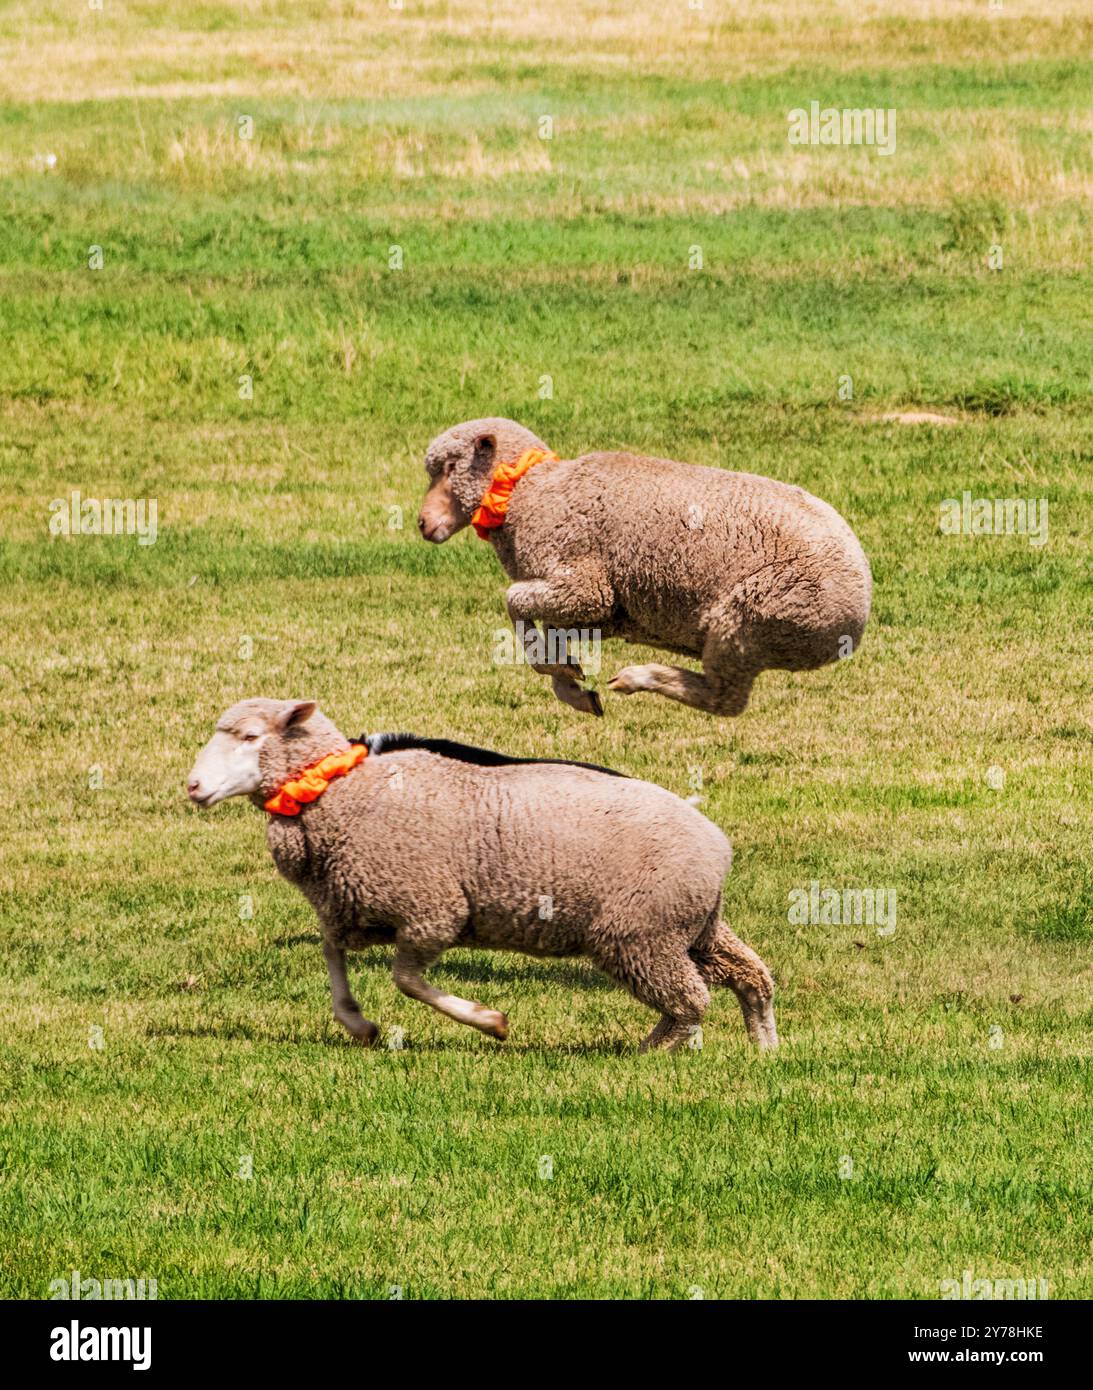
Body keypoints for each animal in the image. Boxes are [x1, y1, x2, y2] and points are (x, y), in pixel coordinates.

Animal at [187, 698, 778, 1052]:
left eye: (249, 737)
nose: (193, 787)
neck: (344, 790)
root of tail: (716, 843)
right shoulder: (357, 907)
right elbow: (332, 954)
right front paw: (357, 1022)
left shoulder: (430, 910)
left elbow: (407, 981)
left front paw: (488, 1021)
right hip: (691, 927)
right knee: (750, 976)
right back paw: (763, 1048)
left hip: (641, 933)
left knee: (691, 1001)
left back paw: (651, 1051)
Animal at [417, 417, 872, 718]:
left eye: (451, 468)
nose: (422, 523)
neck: (529, 493)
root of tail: (859, 611)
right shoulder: (587, 610)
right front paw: (574, 686)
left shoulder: (585, 587)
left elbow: (513, 602)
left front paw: (557, 668)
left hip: (750, 617)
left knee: (725, 700)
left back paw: (638, 678)